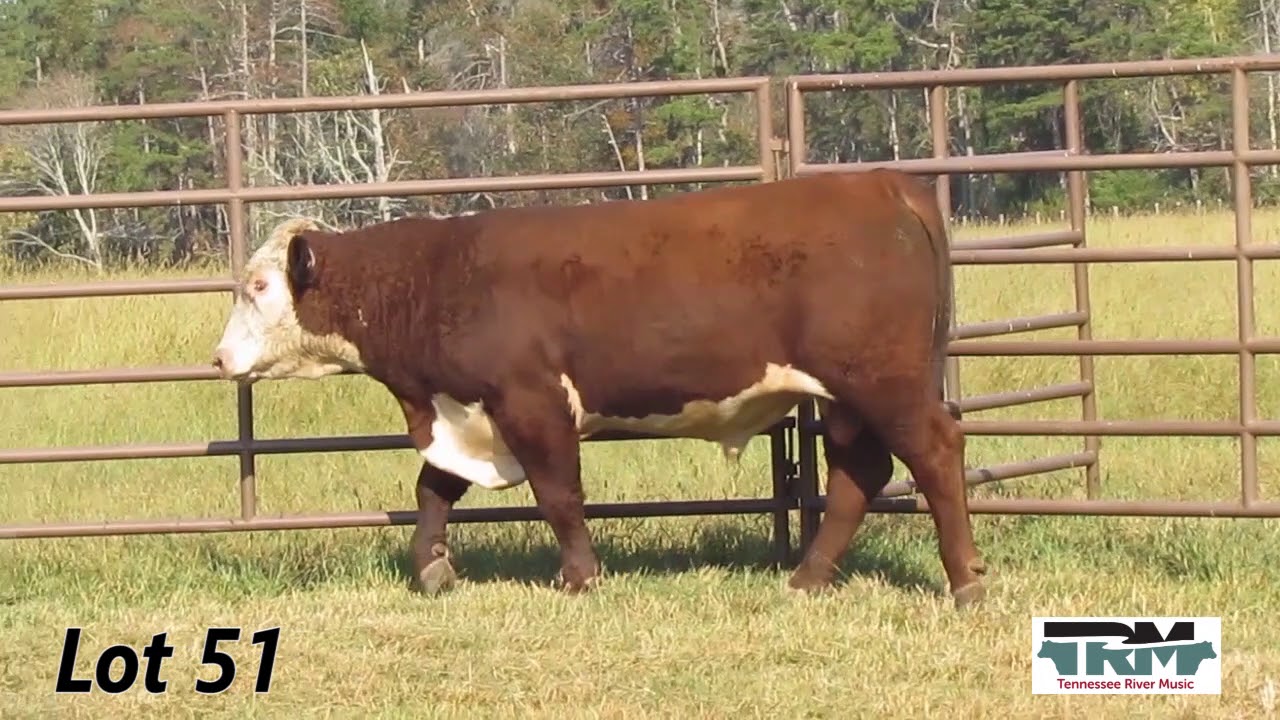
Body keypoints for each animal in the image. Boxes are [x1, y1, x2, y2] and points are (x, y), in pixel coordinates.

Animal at [210, 169, 988, 609]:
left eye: (258, 287)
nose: (219, 359)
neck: (439, 276)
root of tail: (881, 182)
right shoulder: (468, 410)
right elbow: (433, 487)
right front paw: (432, 570)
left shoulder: (531, 403)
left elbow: (559, 495)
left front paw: (581, 577)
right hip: (846, 396)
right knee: (860, 471)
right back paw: (807, 579)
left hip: (883, 380)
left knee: (935, 452)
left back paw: (965, 582)